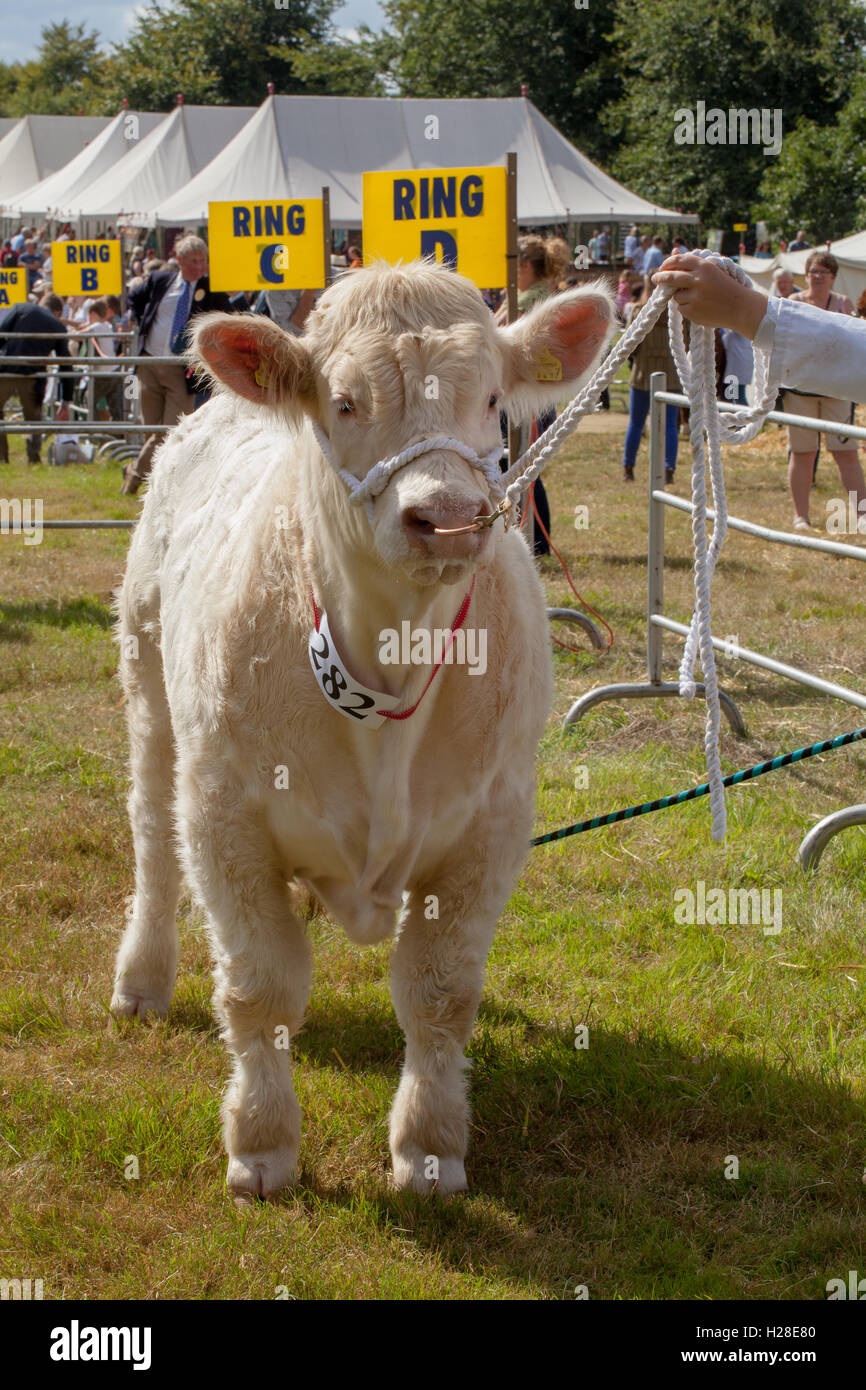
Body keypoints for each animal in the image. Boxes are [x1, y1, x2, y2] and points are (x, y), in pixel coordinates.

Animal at [111, 259, 613, 1199]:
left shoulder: (490, 825)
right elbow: (260, 986)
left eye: (494, 398)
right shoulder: (226, 814)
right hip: (149, 689)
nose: (447, 515)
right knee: (154, 841)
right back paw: (142, 977)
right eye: (344, 401)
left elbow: (441, 993)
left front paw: (430, 1147)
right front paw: (262, 1143)